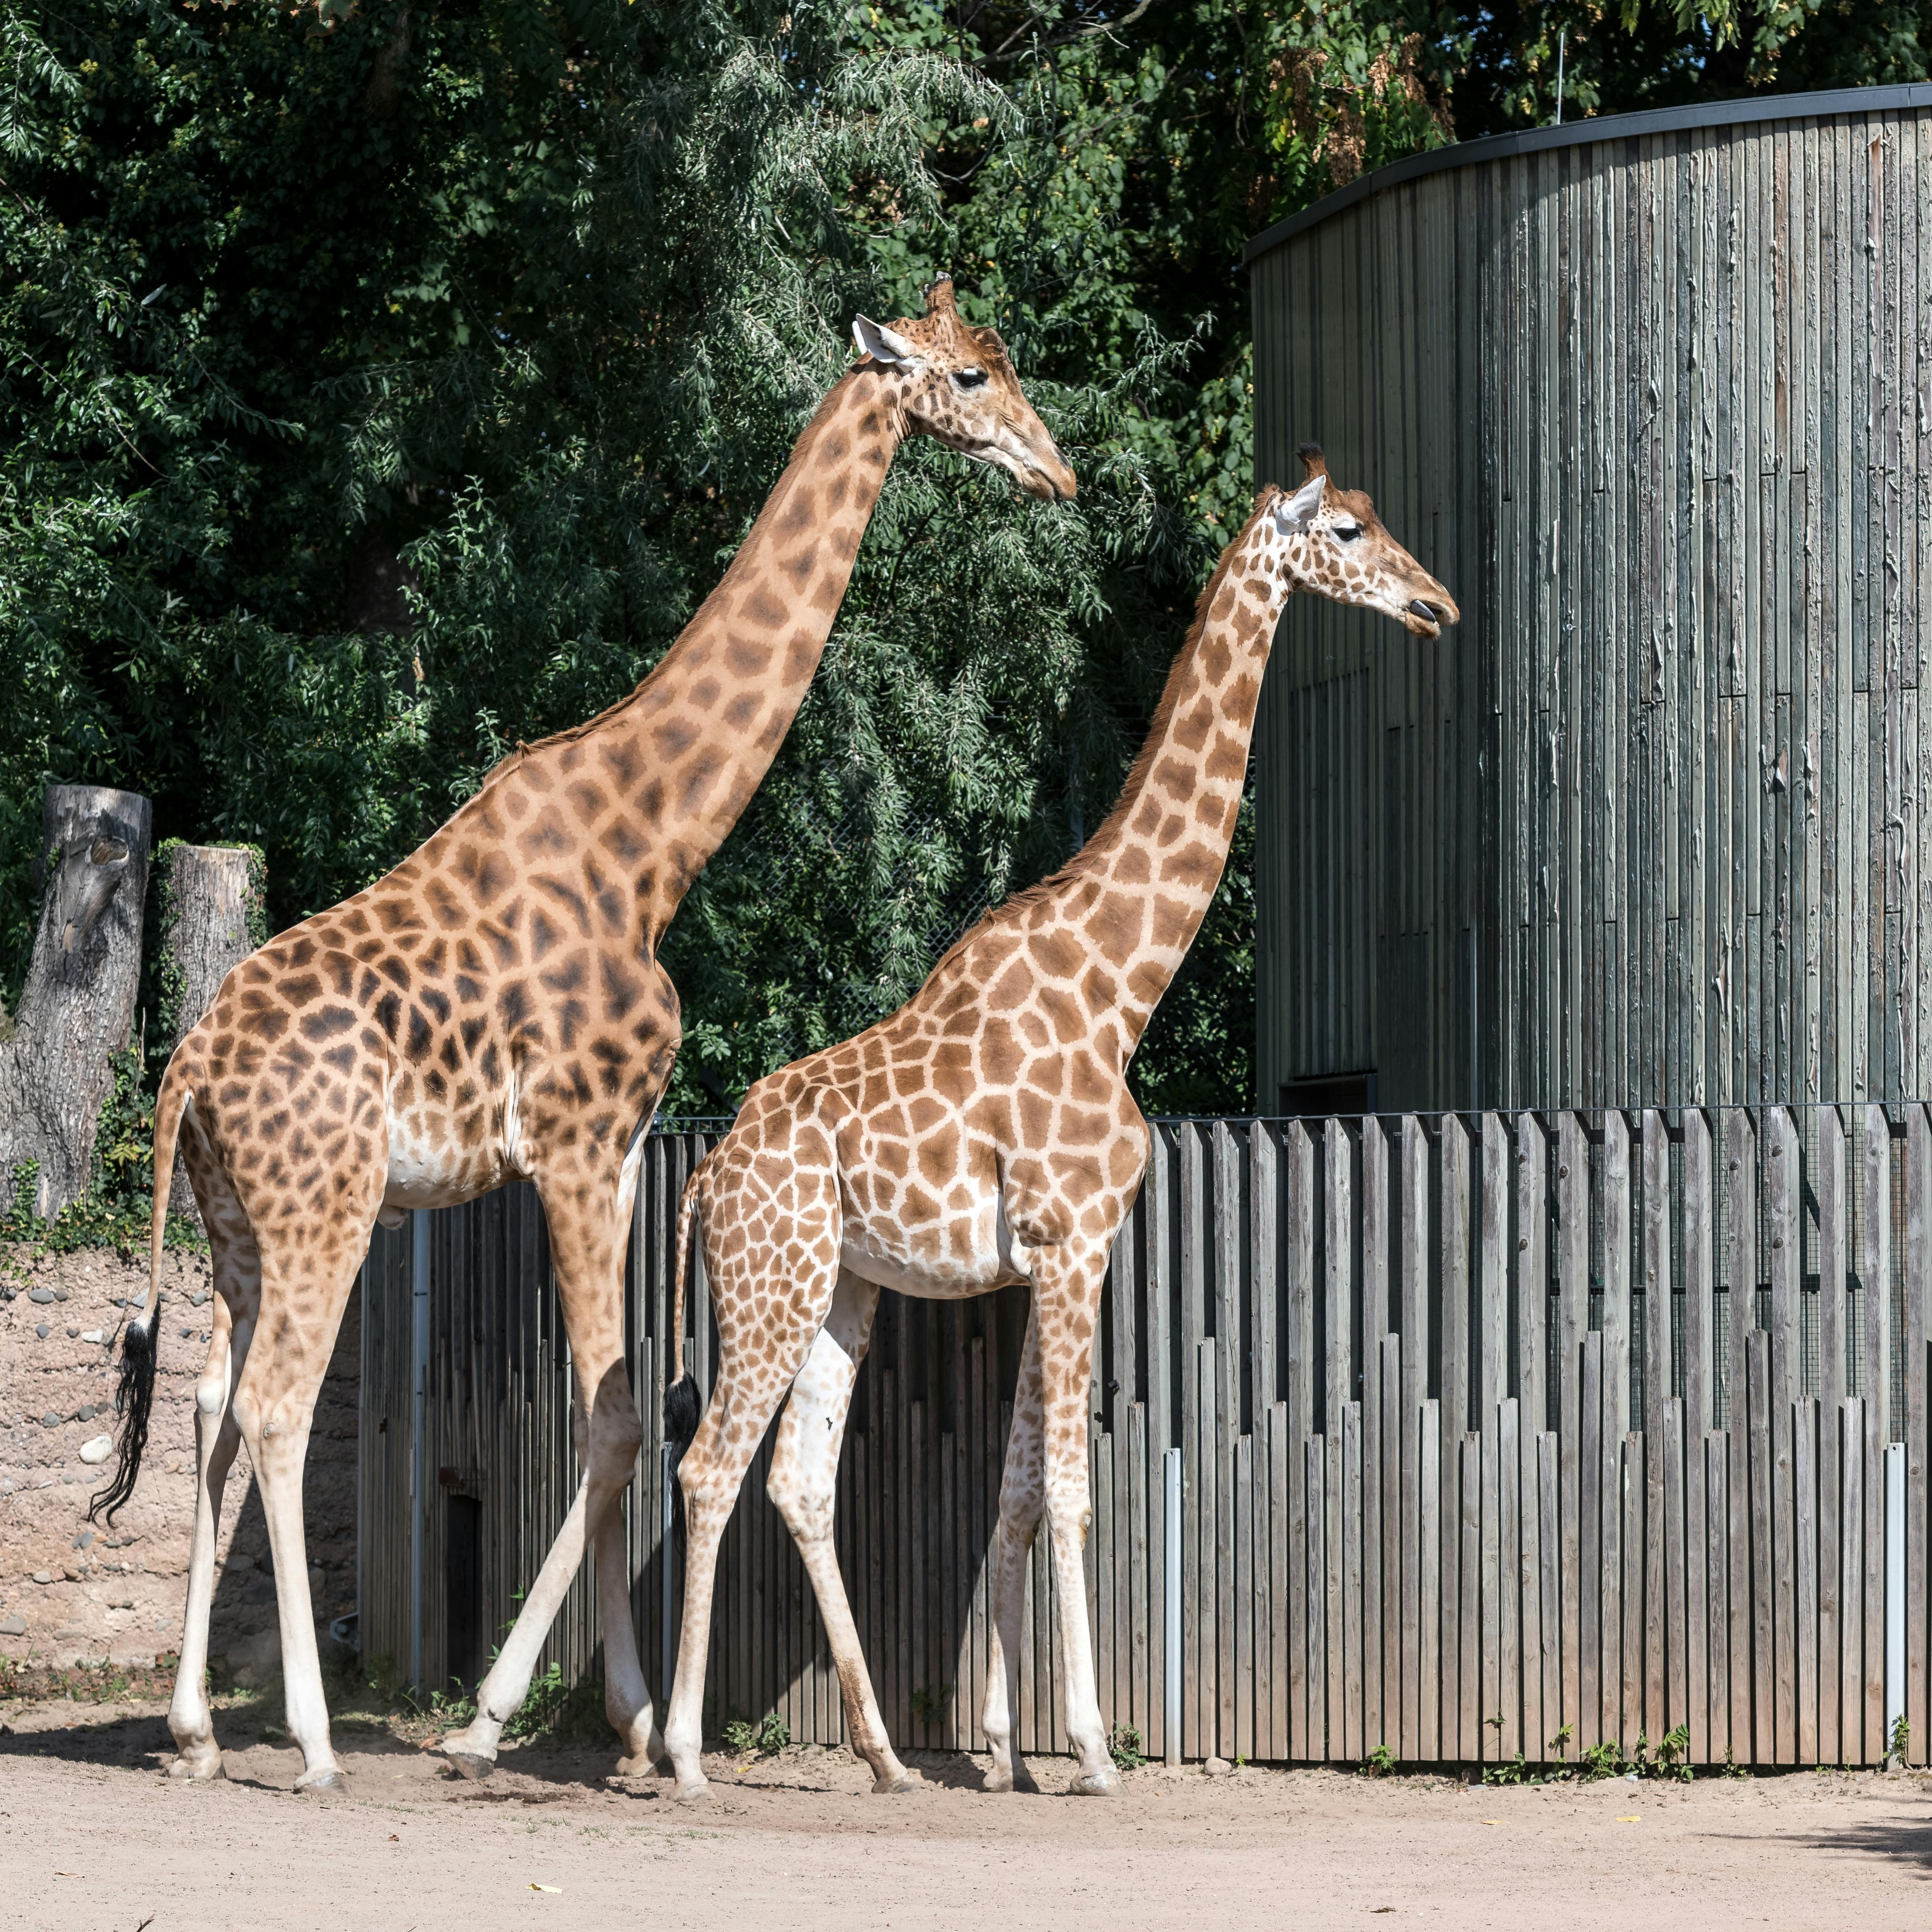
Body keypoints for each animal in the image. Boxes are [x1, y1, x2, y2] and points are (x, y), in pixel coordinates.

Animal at [96, 276, 1076, 1795]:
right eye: (972, 378)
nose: (1057, 470)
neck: (652, 838)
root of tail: (186, 1068)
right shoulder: (570, 1138)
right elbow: (615, 1412)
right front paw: (527, 1713)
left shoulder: (615, 1152)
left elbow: (617, 1402)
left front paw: (610, 1712)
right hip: (327, 1207)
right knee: (272, 1406)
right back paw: (309, 1738)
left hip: (234, 1224)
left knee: (205, 1403)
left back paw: (197, 1726)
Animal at [658, 447, 1457, 1799]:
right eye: (1348, 530)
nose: (1436, 605)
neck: (1116, 983)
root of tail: (702, 1179)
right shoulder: (1075, 1242)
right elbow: (1075, 1492)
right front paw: (1084, 1745)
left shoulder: (1044, 1255)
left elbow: (1020, 1489)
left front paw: (997, 1743)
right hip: (771, 1279)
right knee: (708, 1466)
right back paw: (675, 1750)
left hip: (840, 1285)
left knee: (799, 1478)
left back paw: (886, 1752)